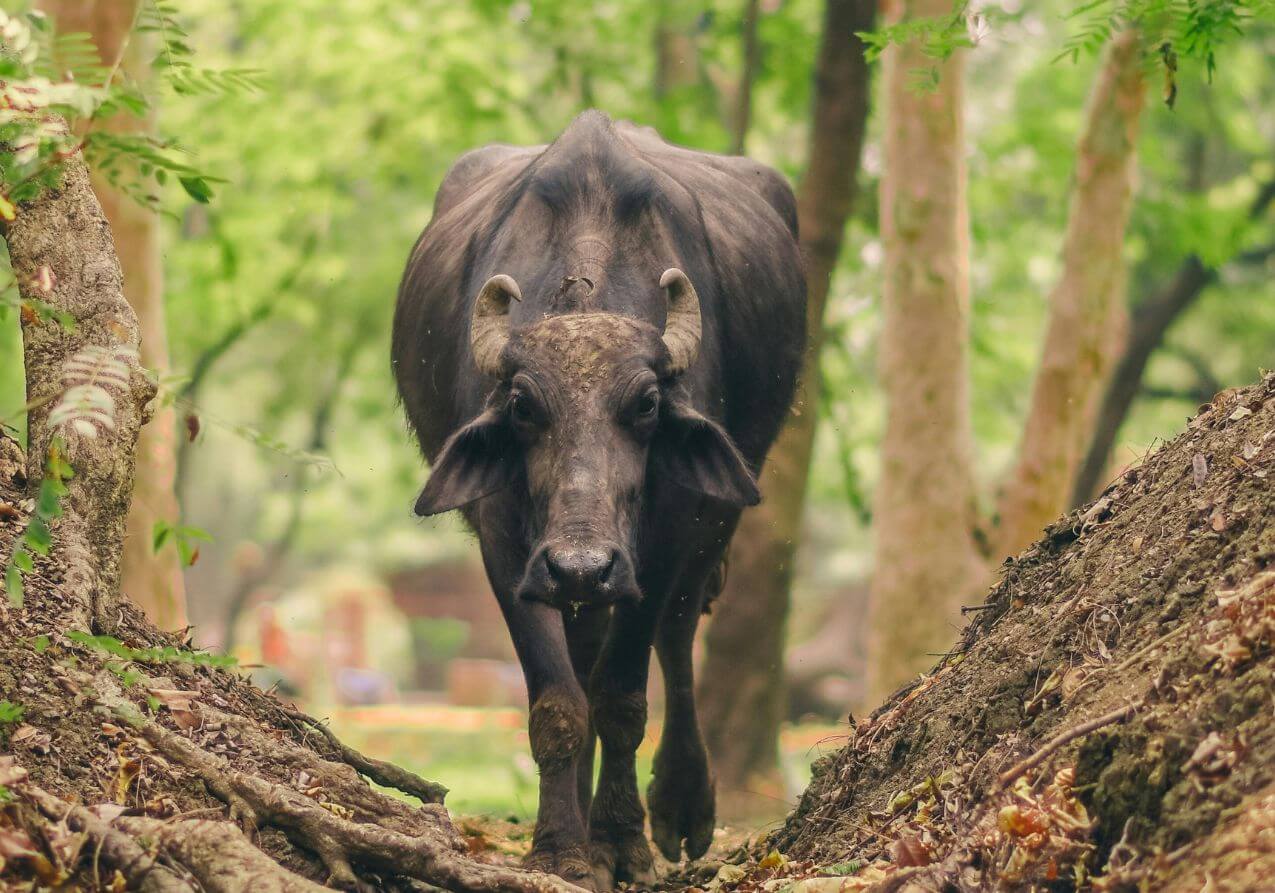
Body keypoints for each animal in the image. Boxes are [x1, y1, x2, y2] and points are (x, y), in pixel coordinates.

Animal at [393, 110, 805, 889]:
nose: (581, 563)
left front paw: (620, 844)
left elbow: (621, 696)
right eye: (524, 406)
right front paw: (561, 845)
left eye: (645, 404)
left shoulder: (667, 531)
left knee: (675, 636)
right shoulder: (509, 546)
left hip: (716, 513)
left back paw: (678, 805)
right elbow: (559, 702)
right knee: (585, 653)